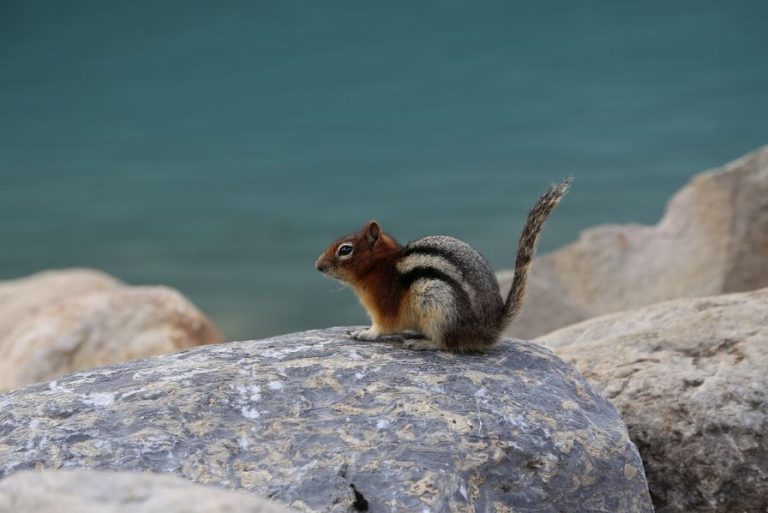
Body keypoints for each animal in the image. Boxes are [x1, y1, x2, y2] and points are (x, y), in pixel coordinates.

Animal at [314, 178, 571, 352]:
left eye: (345, 250)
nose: (318, 266)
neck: (382, 266)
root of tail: (491, 329)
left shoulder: (384, 305)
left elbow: (383, 327)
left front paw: (364, 333)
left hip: (439, 307)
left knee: (448, 344)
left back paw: (424, 343)